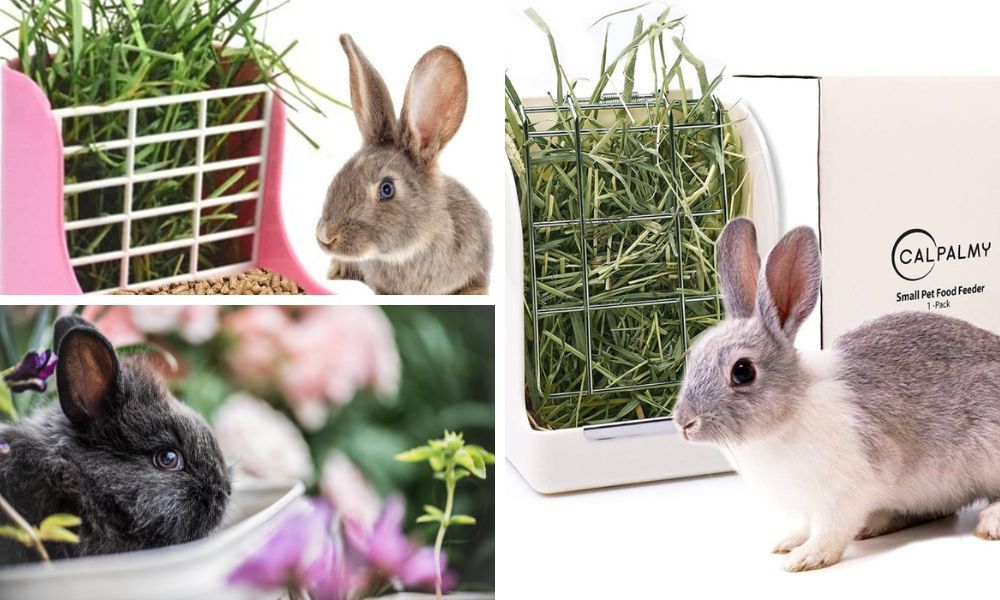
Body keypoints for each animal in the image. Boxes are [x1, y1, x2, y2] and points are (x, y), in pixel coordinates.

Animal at [674, 217, 1000, 572]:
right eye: (694, 355)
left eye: (743, 371)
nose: (683, 423)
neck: (790, 412)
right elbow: (806, 525)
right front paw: (787, 543)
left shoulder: (844, 494)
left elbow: (830, 531)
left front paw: (806, 558)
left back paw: (990, 523)